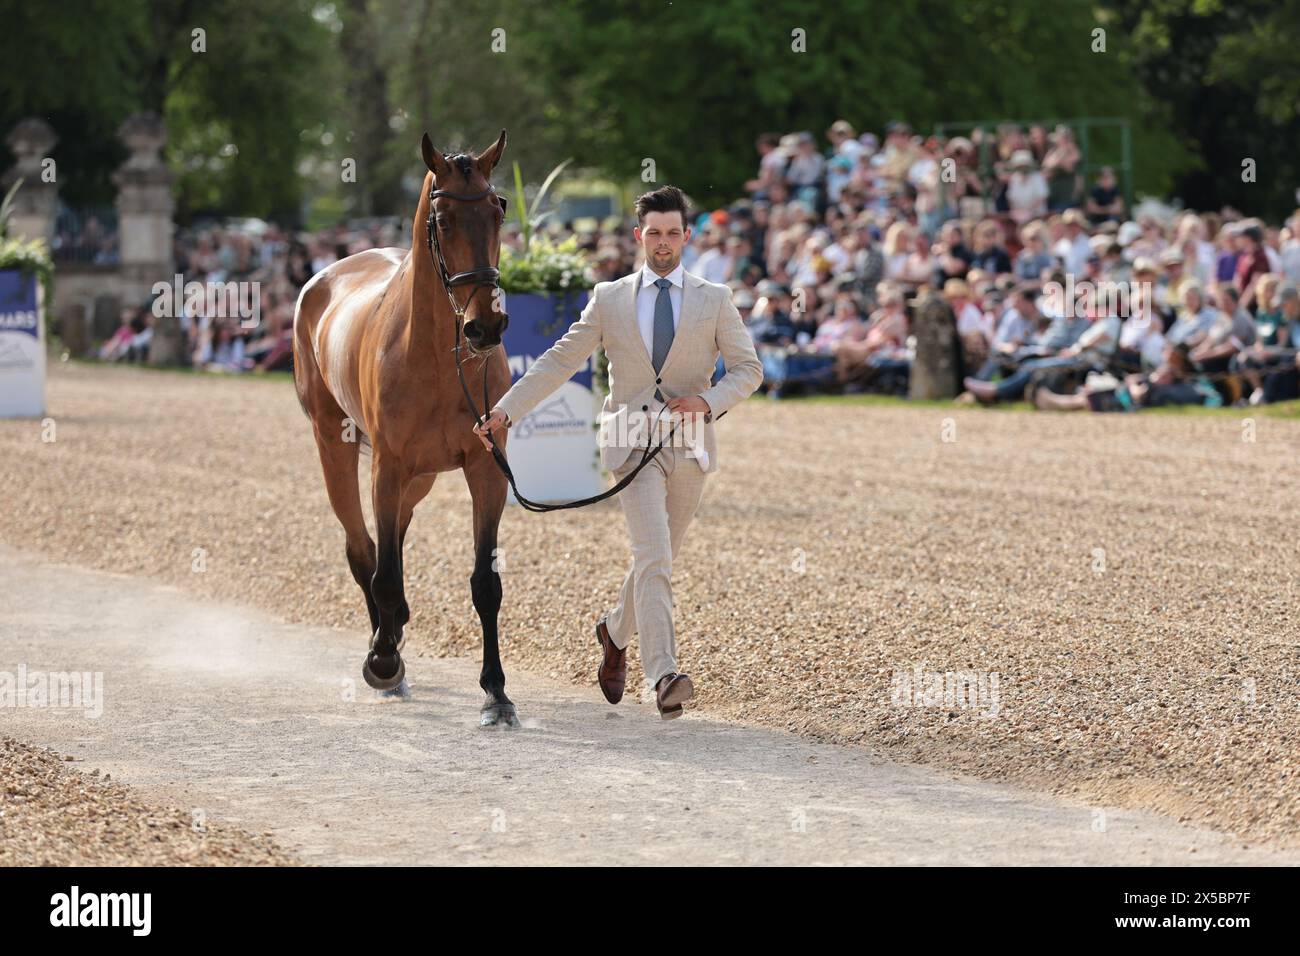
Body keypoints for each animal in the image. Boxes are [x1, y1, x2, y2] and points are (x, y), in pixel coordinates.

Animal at [292, 130, 518, 726]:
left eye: (498, 210)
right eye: (442, 220)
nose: (486, 326)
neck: (439, 357)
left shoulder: (486, 470)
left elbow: (485, 584)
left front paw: (496, 693)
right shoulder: (388, 468)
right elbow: (384, 570)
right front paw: (383, 662)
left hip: (420, 477)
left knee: (389, 538)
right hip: (336, 448)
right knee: (363, 548)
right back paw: (384, 646)